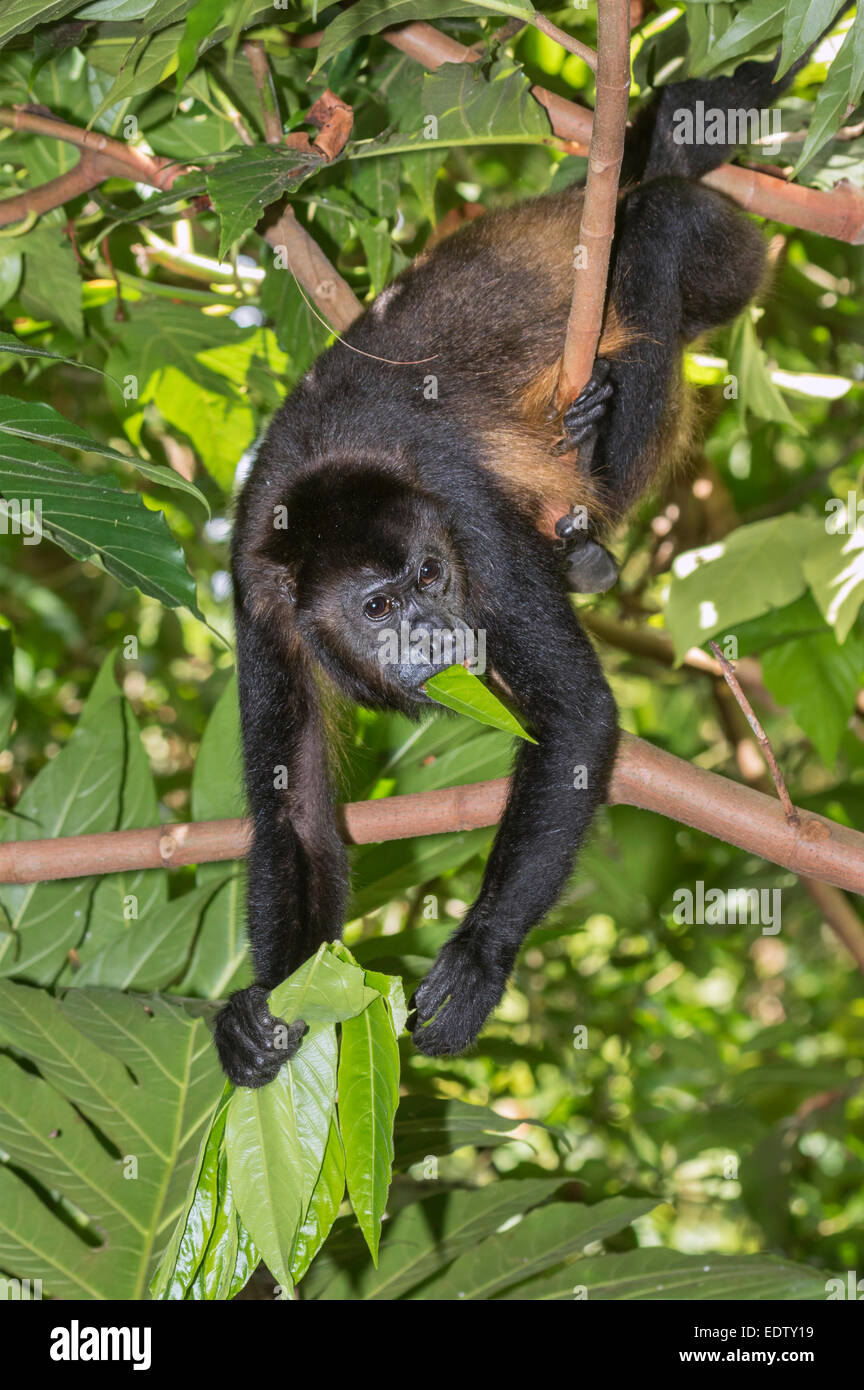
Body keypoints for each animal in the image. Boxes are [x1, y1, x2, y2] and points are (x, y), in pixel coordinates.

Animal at [214, 50, 814, 1087]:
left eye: (429, 579)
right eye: (379, 606)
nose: (437, 628)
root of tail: (574, 198)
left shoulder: (469, 519)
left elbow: (577, 715)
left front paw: (481, 954)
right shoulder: (257, 594)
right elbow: (295, 813)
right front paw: (261, 1008)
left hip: (728, 252)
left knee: (660, 227)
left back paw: (591, 476)